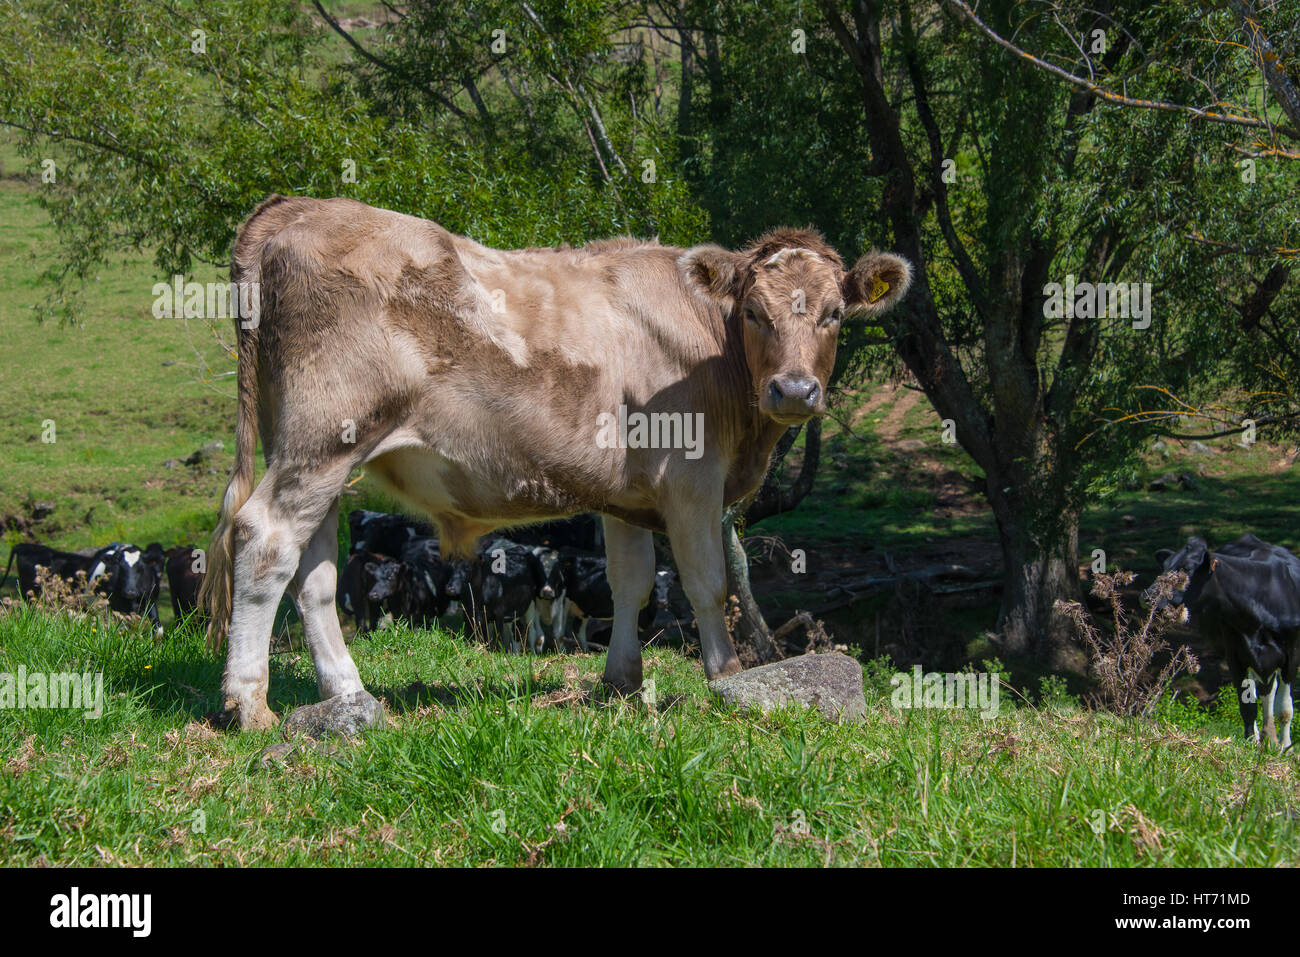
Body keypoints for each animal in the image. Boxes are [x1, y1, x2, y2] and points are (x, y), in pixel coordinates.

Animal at [199, 194, 912, 731]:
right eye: (757, 314)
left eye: (834, 314)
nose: (793, 390)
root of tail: (299, 207)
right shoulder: (691, 480)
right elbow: (708, 583)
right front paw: (726, 676)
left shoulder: (628, 492)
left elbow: (630, 583)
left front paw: (621, 681)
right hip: (323, 439)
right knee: (267, 541)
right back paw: (248, 703)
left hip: (314, 452)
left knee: (313, 569)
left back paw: (346, 694)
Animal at [1147, 534, 1300, 749]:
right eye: (1165, 566)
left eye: (1187, 568)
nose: (1147, 596)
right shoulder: (1235, 655)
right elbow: (1247, 706)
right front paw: (1251, 743)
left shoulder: (1292, 655)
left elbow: (1285, 709)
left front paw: (1285, 747)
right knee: (1264, 693)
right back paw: (1266, 737)